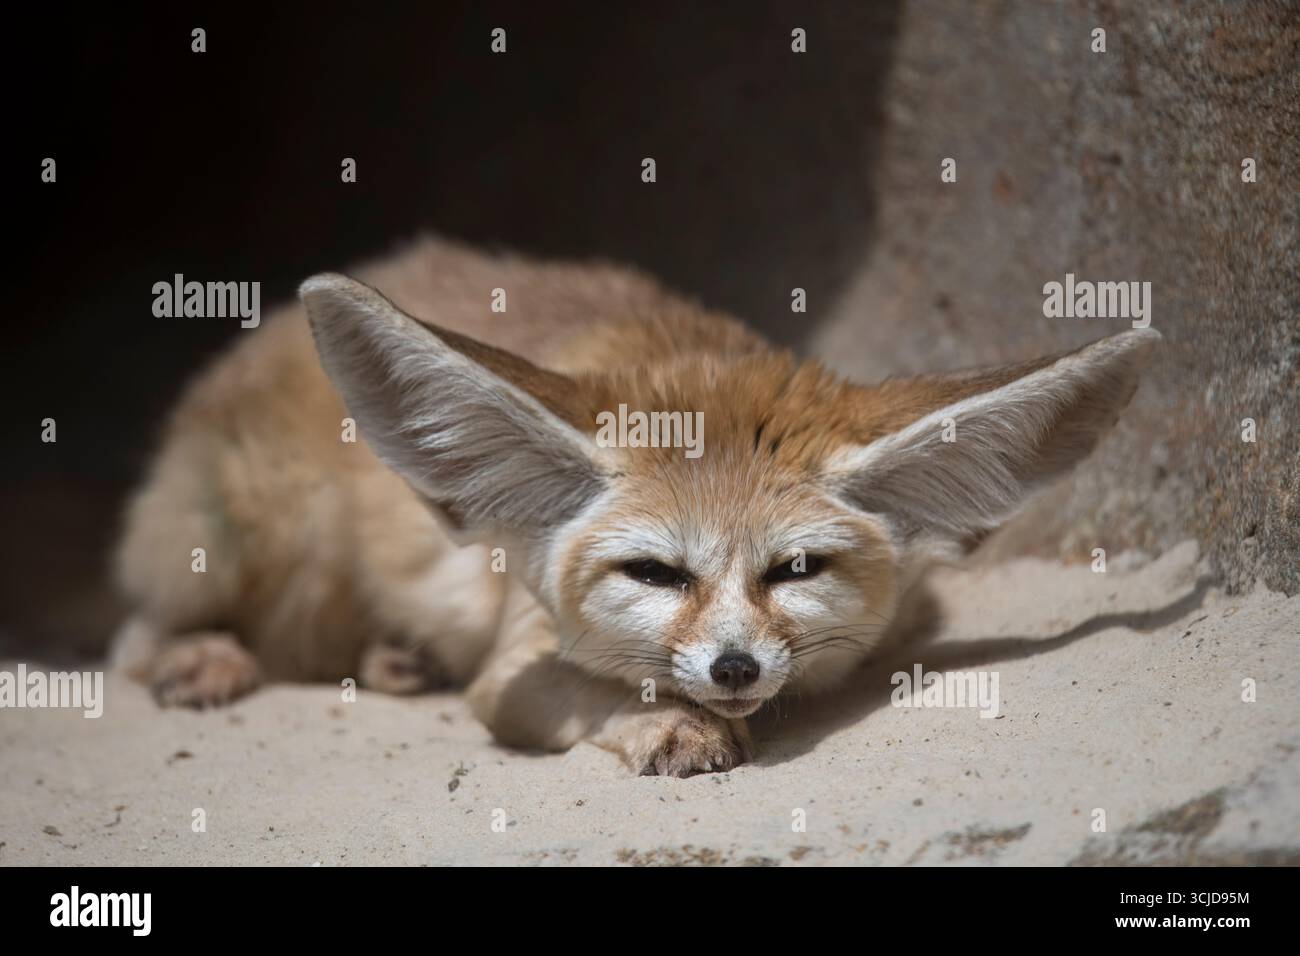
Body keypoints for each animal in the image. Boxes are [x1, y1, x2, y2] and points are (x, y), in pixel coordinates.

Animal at [112, 236, 1160, 777]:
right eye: (655, 573)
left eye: (795, 570)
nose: (735, 667)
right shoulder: (515, 668)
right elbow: (604, 689)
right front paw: (673, 723)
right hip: (245, 536)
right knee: (131, 634)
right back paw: (197, 656)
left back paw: (398, 657)